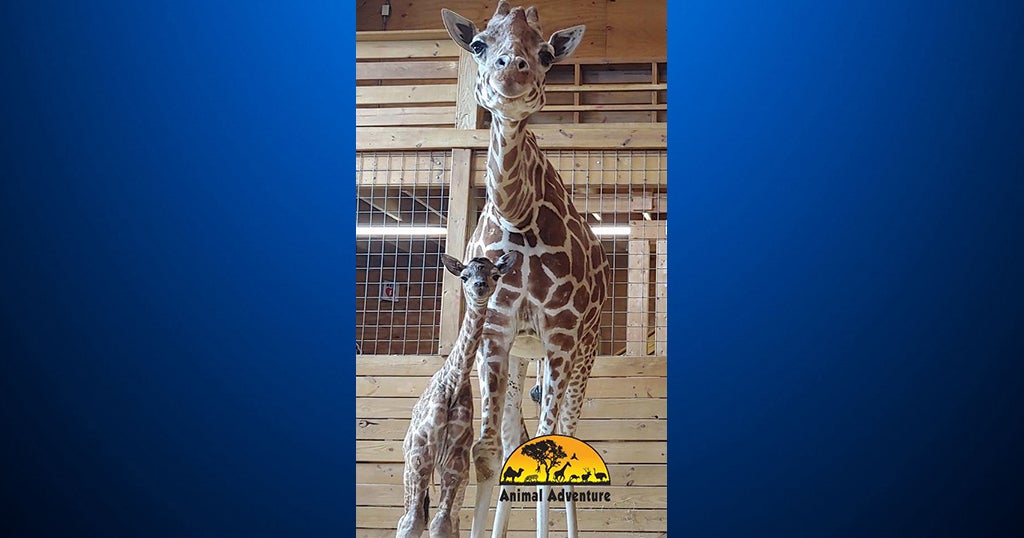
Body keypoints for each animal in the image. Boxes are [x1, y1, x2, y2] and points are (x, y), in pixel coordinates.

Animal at [397, 252, 519, 538]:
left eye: (495, 275)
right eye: (464, 276)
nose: (480, 286)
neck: (453, 383)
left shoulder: (456, 464)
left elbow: (441, 524)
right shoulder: (420, 457)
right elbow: (412, 522)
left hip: (456, 476)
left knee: (451, 522)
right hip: (411, 467)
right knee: (406, 517)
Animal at [441, 3, 610, 537]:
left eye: (546, 54)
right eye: (478, 45)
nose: (510, 73)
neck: (519, 214)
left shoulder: (561, 332)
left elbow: (550, 447)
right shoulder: (496, 330)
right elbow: (489, 449)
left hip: (585, 351)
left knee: (569, 435)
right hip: (522, 357)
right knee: (516, 438)